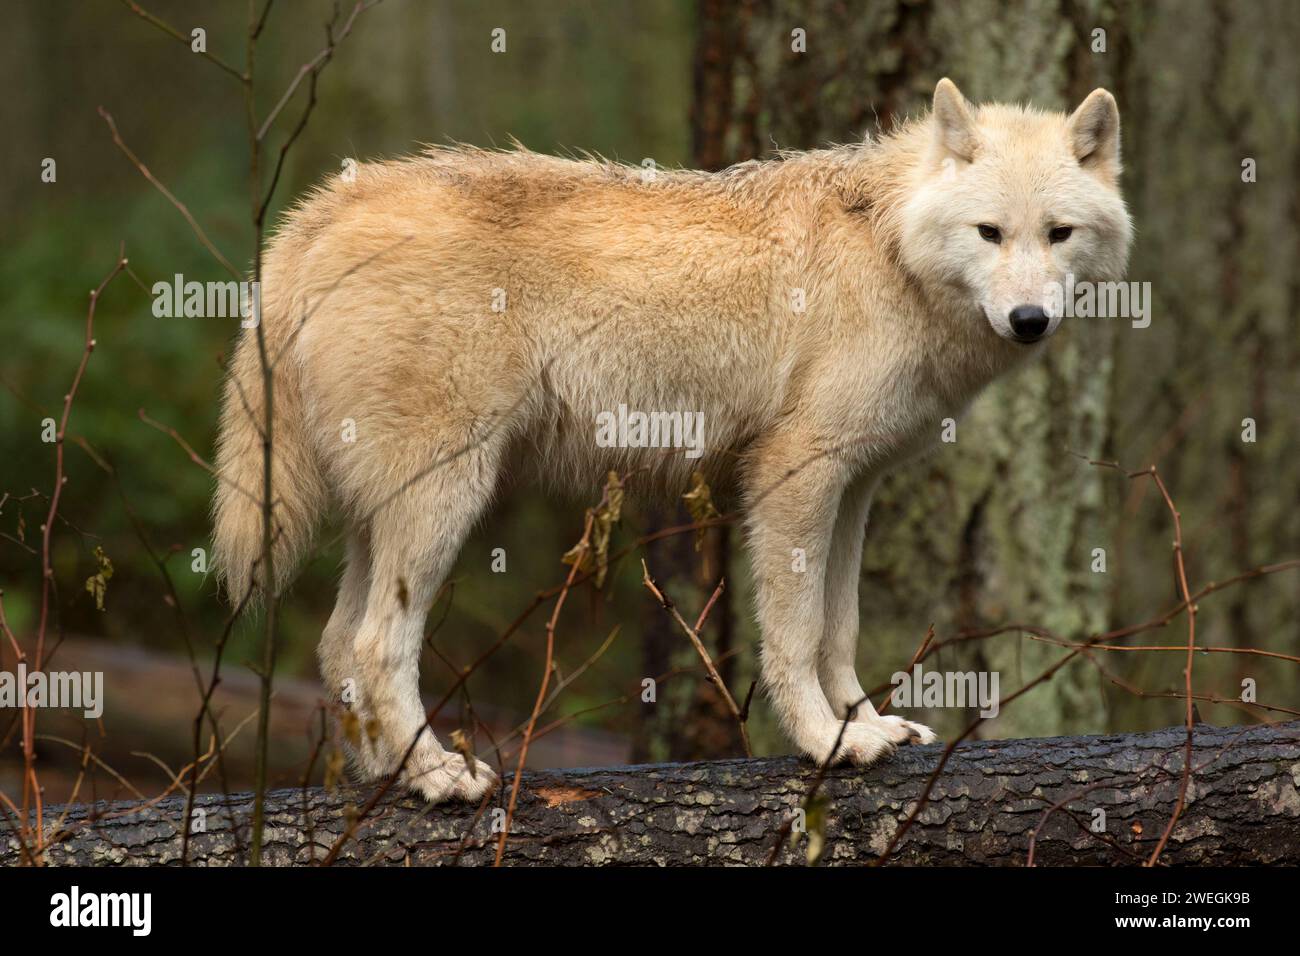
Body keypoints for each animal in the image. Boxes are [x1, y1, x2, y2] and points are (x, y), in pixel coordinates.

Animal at [213, 79, 1131, 802]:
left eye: (1058, 234)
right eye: (989, 233)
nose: (1029, 320)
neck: (888, 246)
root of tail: (317, 214)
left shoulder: (855, 486)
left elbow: (839, 631)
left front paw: (867, 725)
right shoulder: (794, 475)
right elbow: (795, 635)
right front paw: (825, 742)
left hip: (389, 518)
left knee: (339, 644)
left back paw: (388, 781)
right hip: (445, 502)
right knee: (375, 647)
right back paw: (438, 778)